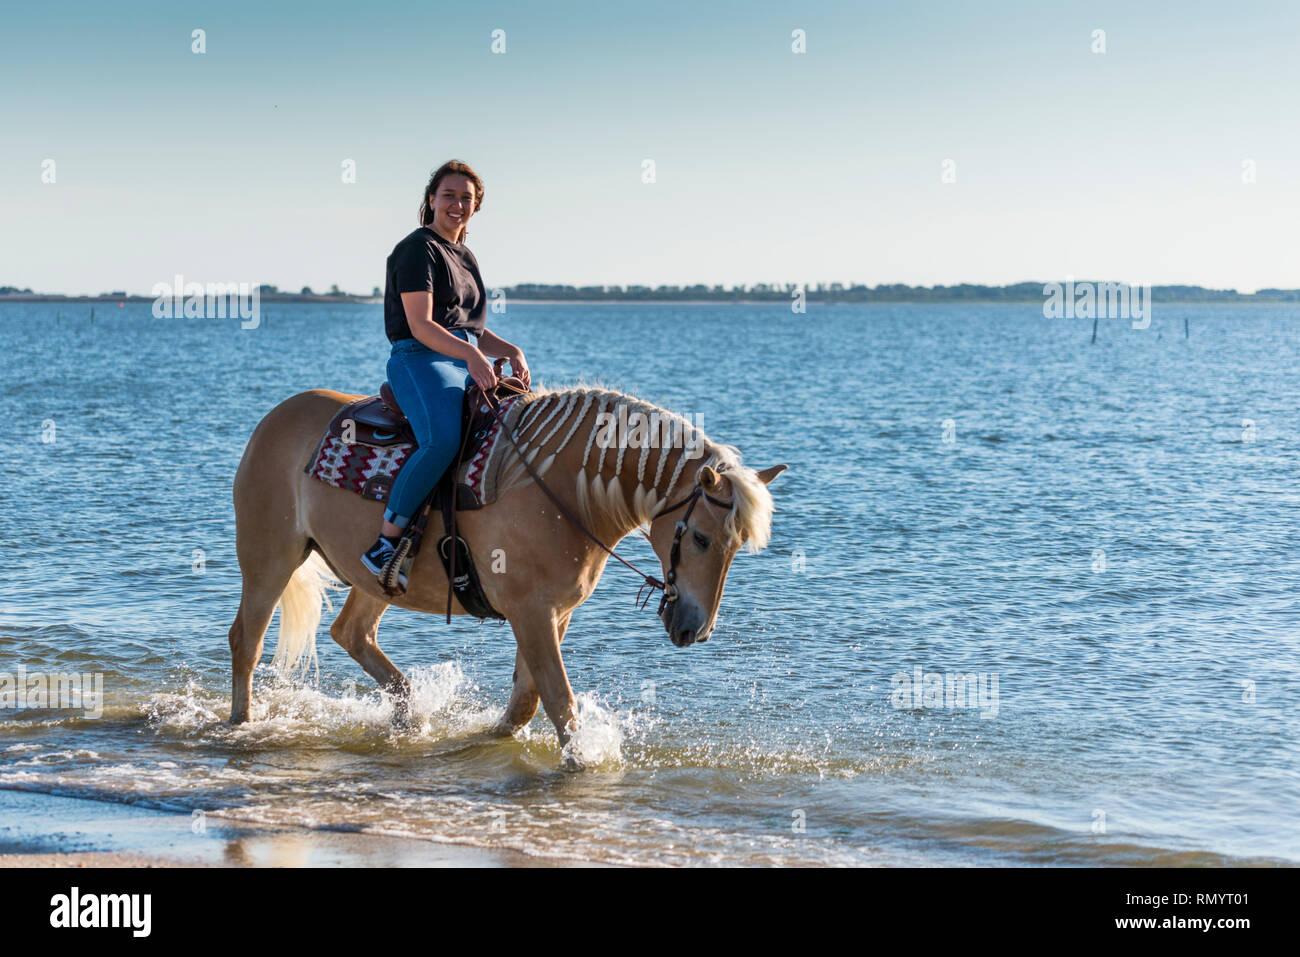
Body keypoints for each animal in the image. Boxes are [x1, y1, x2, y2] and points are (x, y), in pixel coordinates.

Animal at [226, 382, 787, 757]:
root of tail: (275, 417)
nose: (695, 629)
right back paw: (240, 723)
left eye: (737, 545)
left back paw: (409, 719)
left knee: (352, 633)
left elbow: (525, 699)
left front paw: (486, 739)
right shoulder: (530, 611)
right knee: (246, 639)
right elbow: (558, 699)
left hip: (374, 582)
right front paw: (580, 762)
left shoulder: (554, 613)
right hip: (269, 556)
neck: (565, 488)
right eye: (700, 538)